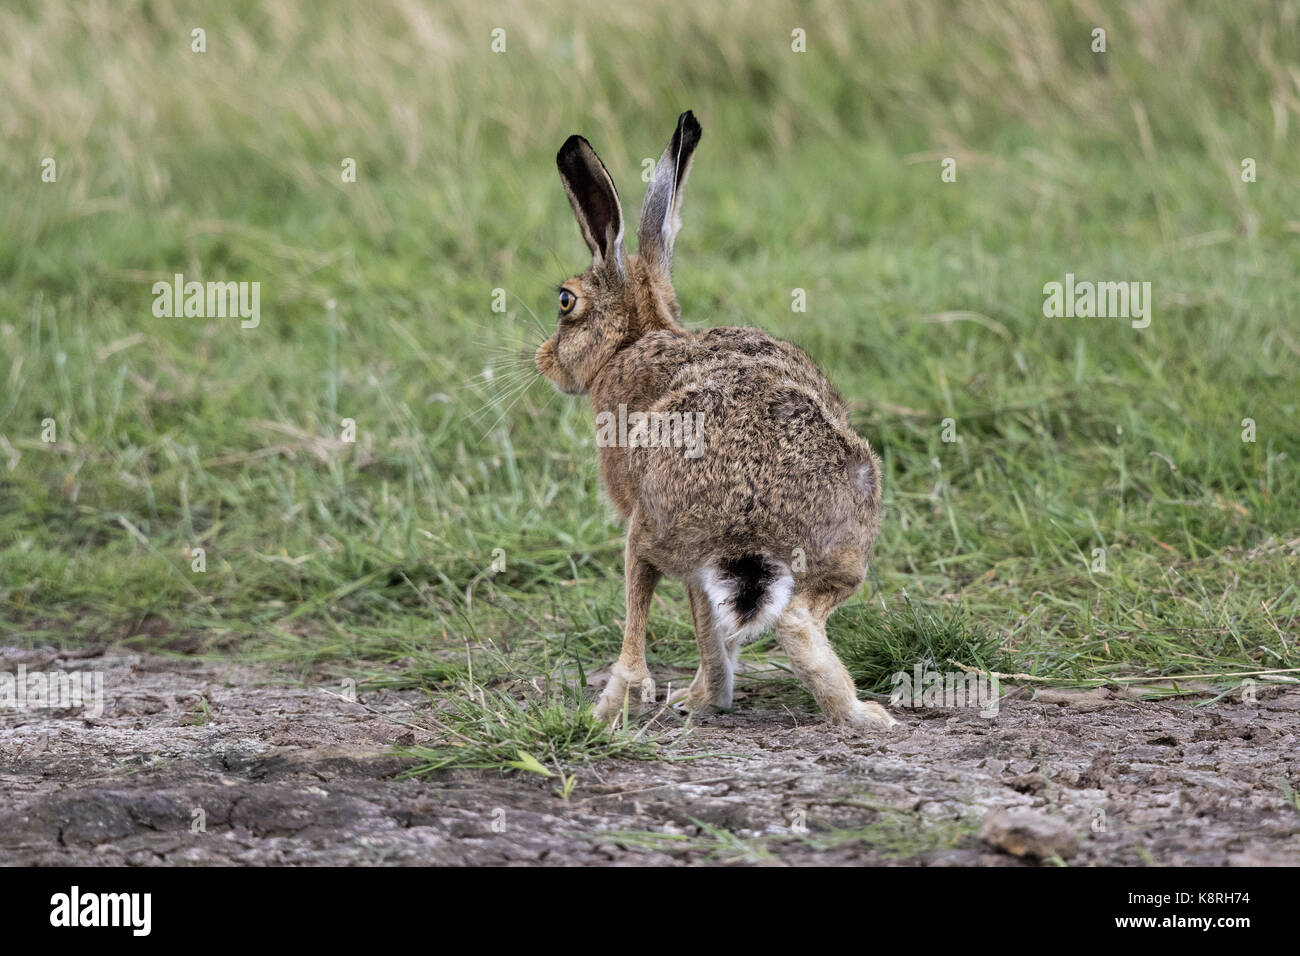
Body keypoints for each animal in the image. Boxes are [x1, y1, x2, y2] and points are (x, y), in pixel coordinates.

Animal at [535, 110, 896, 729]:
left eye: (566, 301)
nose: (542, 360)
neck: (635, 338)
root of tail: (752, 511)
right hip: (848, 544)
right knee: (796, 619)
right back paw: (858, 713)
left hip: (652, 533)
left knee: (647, 616)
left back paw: (620, 707)